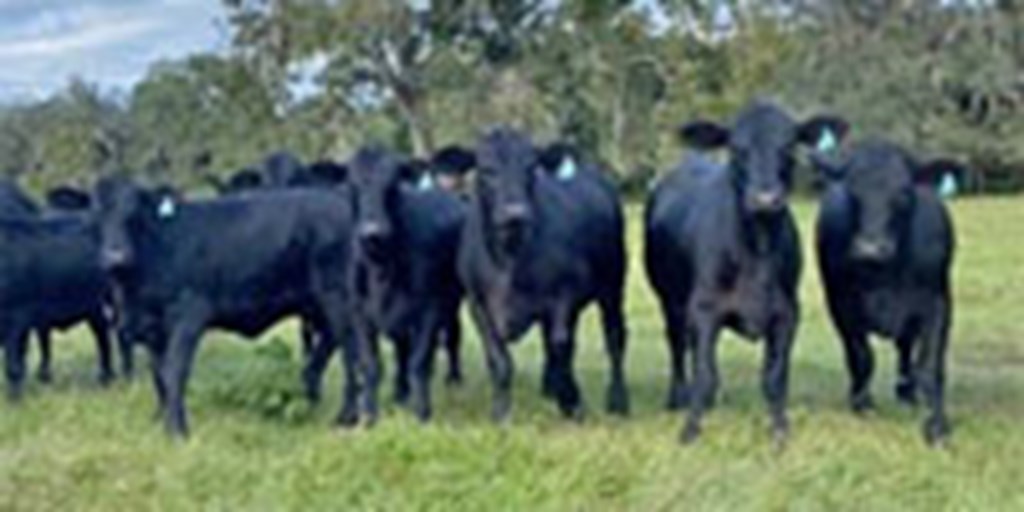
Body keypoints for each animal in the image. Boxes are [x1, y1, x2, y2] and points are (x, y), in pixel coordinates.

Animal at [93, 176, 359, 437]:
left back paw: (346, 418)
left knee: (350, 351)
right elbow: (159, 375)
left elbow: (175, 371)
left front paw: (177, 430)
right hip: (318, 306)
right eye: (99, 213)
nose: (116, 256)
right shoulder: (153, 330)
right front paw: (161, 420)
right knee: (329, 345)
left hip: (339, 298)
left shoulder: (188, 317)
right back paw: (311, 398)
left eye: (135, 214)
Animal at [347, 146, 465, 423]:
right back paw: (400, 392)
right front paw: (369, 416)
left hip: (452, 303)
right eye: (352, 185)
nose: (373, 232)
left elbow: (418, 362)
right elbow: (371, 365)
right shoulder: (359, 312)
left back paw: (453, 378)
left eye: (393, 185)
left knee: (453, 338)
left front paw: (421, 412)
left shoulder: (430, 309)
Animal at [434, 128, 629, 423]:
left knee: (614, 338)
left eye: (531, 167)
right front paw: (500, 413)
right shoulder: (477, 305)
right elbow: (499, 360)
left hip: (613, 287)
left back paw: (617, 401)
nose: (515, 213)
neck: (508, 261)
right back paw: (549, 388)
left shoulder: (563, 297)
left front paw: (571, 402)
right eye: (486, 169)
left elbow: (561, 348)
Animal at [645, 101, 848, 445]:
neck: (757, 255)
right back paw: (677, 398)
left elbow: (774, 378)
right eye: (737, 148)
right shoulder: (704, 308)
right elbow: (705, 375)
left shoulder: (787, 312)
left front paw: (780, 431)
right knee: (676, 344)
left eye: (788, 146)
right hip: (669, 299)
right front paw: (690, 430)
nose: (765, 198)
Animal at [811, 139, 956, 446]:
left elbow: (930, 366)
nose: (869, 248)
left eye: (903, 192)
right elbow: (861, 356)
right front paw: (861, 403)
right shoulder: (840, 305)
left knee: (905, 348)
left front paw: (937, 425)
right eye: (852, 191)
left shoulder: (939, 303)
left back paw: (907, 393)